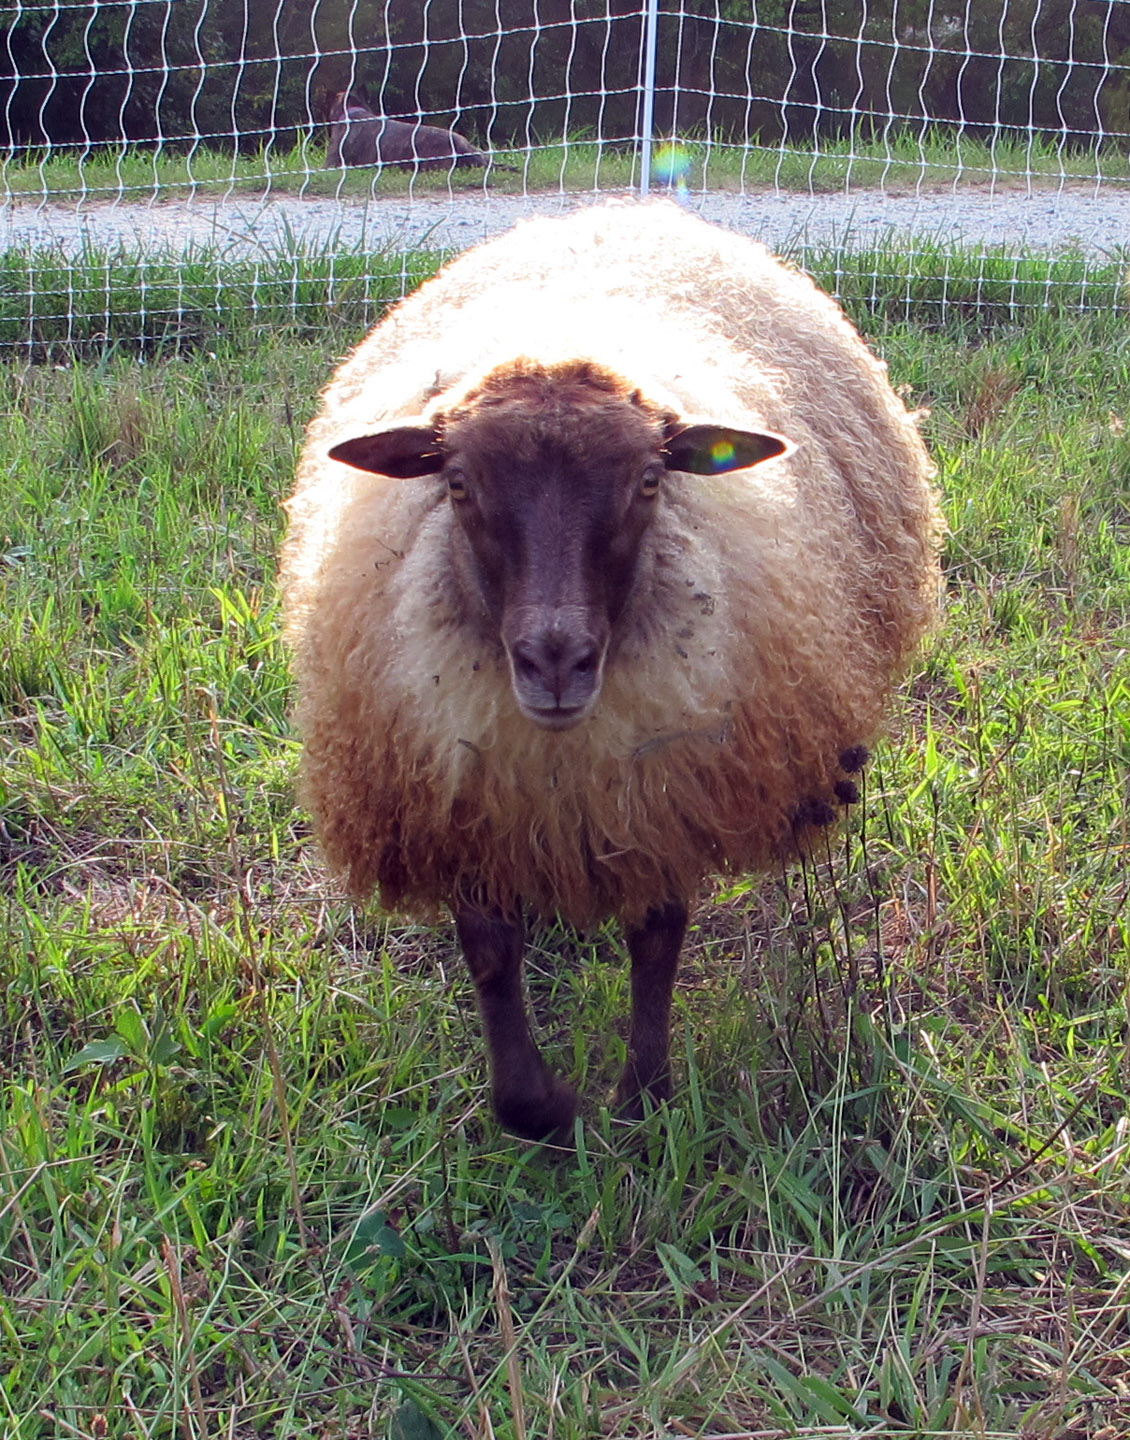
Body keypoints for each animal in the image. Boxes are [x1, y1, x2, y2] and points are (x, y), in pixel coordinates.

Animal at [281, 200, 942, 1142]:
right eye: (458, 485)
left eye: (648, 482)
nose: (554, 658)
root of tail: (627, 206)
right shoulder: (461, 790)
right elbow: (490, 952)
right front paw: (541, 1109)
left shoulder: (661, 779)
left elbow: (657, 937)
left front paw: (645, 1101)